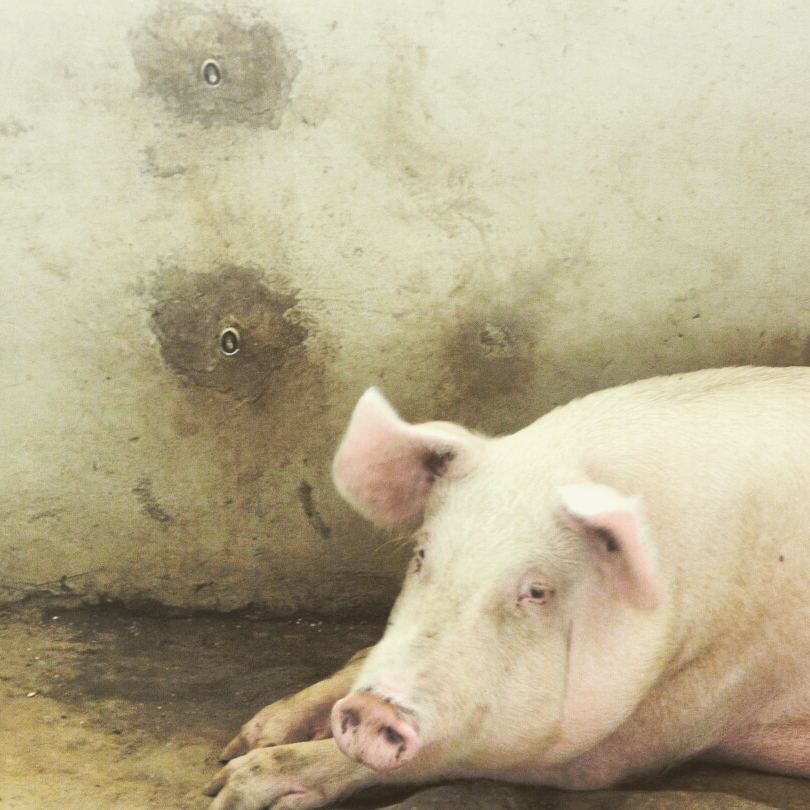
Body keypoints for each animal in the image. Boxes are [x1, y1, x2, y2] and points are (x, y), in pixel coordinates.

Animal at [206, 366, 810, 810]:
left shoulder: (694, 699)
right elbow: (362, 655)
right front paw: (239, 747)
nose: (375, 709)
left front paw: (232, 790)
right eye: (421, 554)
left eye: (536, 592)